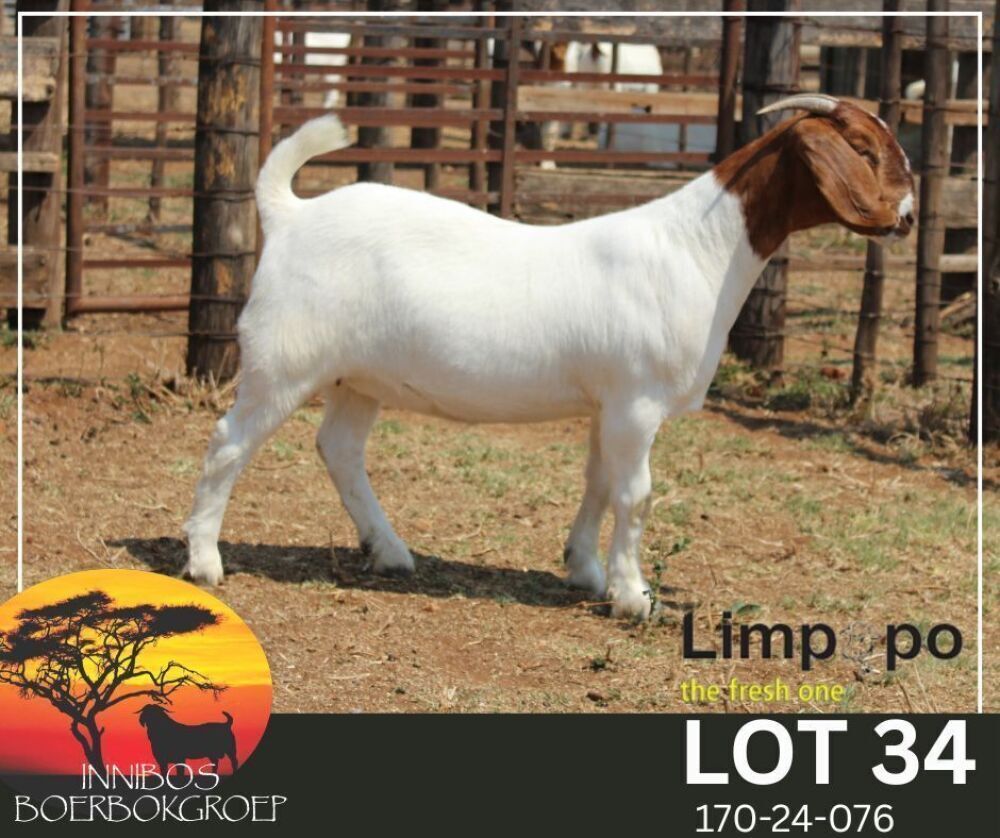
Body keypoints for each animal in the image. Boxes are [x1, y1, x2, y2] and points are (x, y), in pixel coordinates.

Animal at [183, 94, 914, 621]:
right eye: (862, 149)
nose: (907, 216)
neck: (699, 247)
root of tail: (291, 215)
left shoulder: (608, 404)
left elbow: (598, 483)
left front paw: (585, 571)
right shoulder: (637, 402)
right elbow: (637, 495)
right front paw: (633, 596)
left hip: (357, 377)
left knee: (338, 448)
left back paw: (390, 552)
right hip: (283, 359)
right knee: (227, 443)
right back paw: (205, 561)